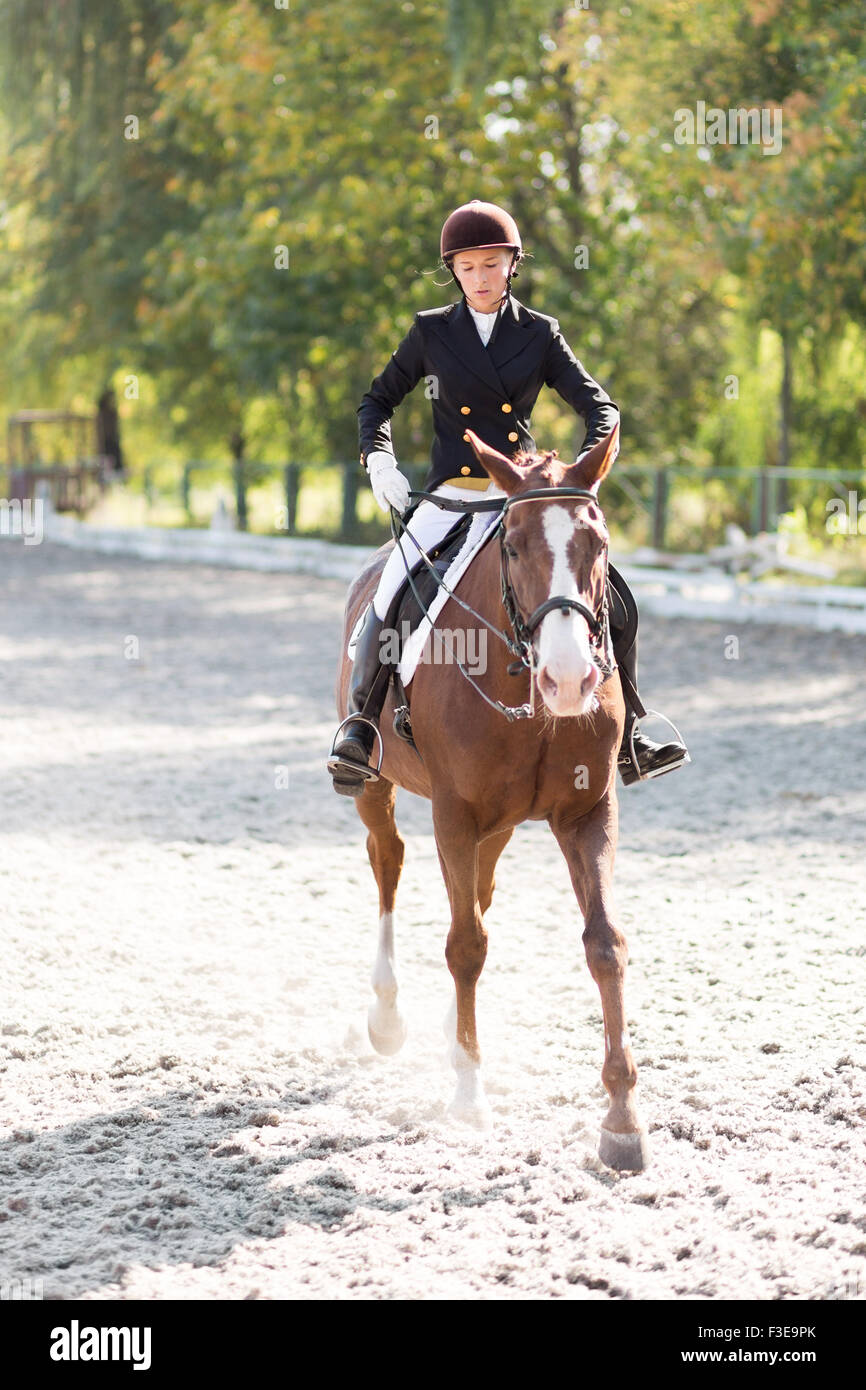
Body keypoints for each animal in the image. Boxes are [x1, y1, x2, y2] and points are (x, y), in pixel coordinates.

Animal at [333, 422, 649, 1171]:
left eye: (599, 543)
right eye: (513, 545)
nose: (570, 678)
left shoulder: (587, 812)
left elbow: (604, 943)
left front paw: (622, 1120)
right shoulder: (453, 811)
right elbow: (465, 946)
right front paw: (469, 1095)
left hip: (500, 824)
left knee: (477, 889)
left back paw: (453, 1024)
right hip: (379, 788)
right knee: (389, 863)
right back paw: (388, 1016)